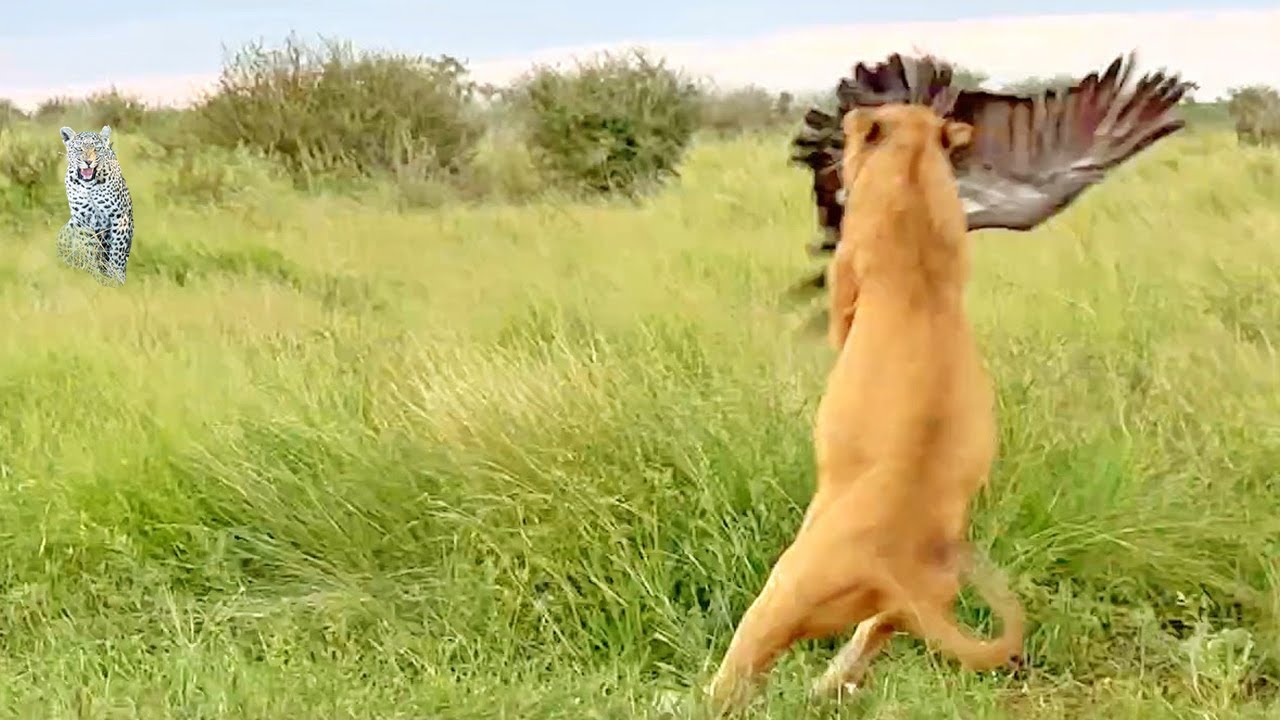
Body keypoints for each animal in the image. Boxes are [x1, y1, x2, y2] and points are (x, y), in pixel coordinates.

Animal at [705, 103, 1024, 716]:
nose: (845, 120)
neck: (915, 168)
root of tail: (893, 567)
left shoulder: (847, 278)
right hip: (894, 612)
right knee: (861, 646)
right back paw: (823, 686)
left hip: (781, 589)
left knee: (740, 667)